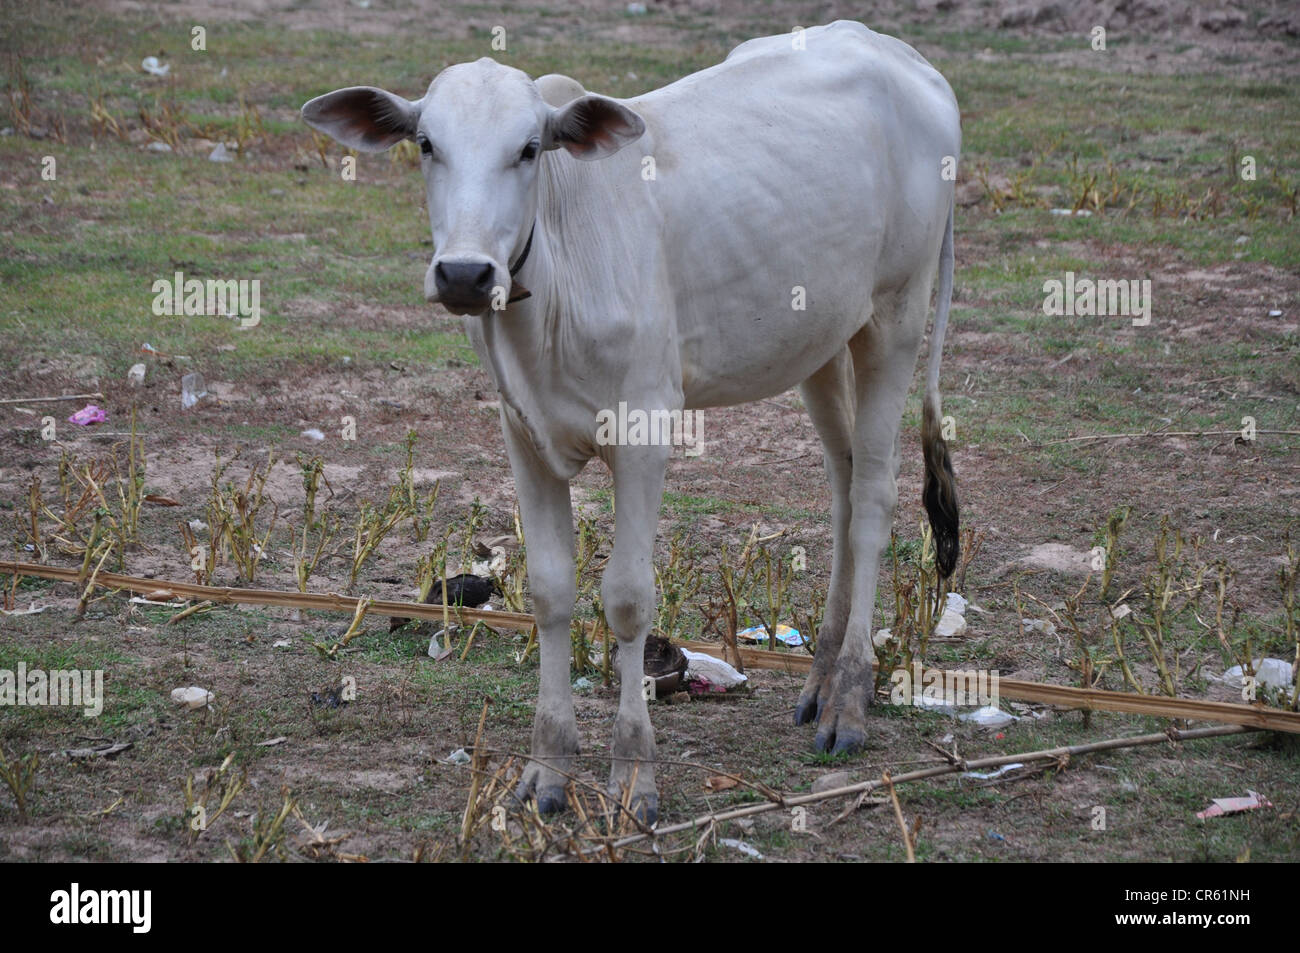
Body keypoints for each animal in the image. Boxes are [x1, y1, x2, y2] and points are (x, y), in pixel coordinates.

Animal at [302, 19, 961, 825]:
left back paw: (849, 702)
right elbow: (550, 591)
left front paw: (634, 773)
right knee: (841, 484)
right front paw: (547, 767)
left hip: (896, 314)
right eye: (426, 143)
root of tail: (901, 55)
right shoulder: (523, 434)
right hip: (821, 337)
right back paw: (818, 681)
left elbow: (625, 598)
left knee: (871, 496)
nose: (464, 274)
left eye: (530, 148)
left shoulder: (646, 427)